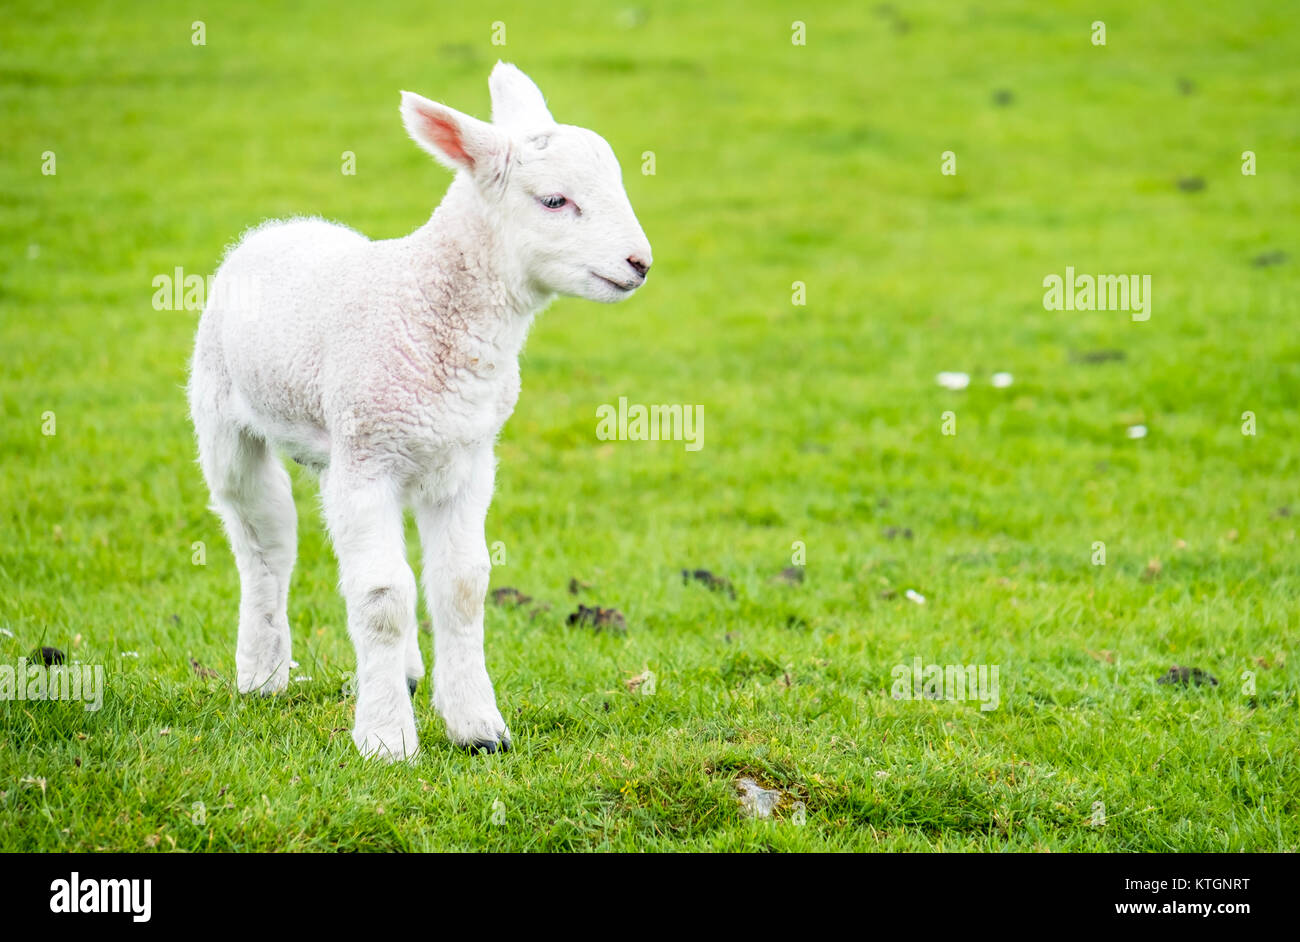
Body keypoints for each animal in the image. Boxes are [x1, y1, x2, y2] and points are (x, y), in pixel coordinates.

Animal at [187, 63, 652, 761]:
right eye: (553, 201)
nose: (639, 264)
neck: (427, 300)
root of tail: (280, 227)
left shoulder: (466, 459)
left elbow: (461, 586)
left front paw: (477, 726)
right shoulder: (367, 459)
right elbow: (382, 596)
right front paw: (385, 737)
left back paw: (403, 671)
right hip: (229, 418)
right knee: (264, 542)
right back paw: (263, 672)